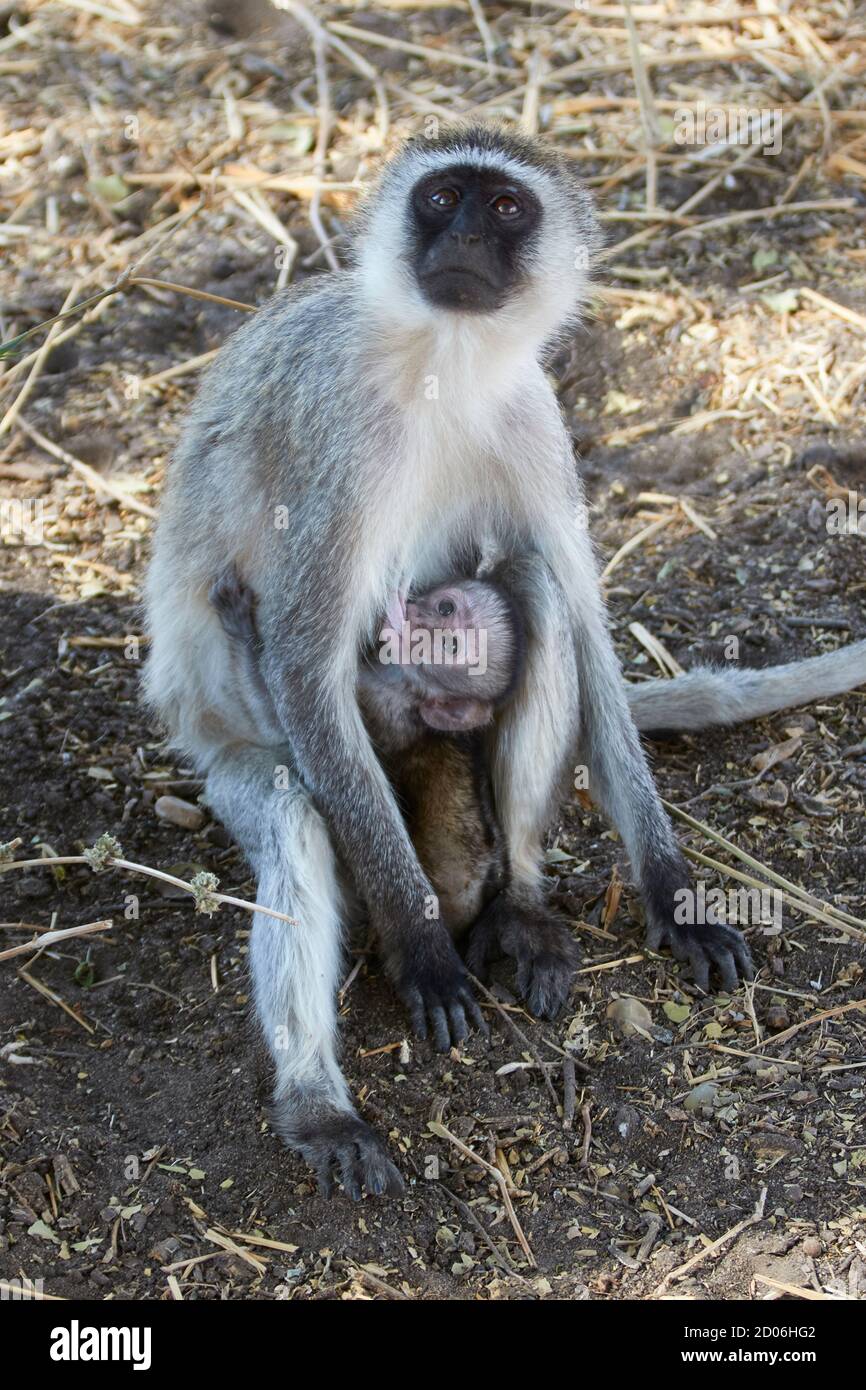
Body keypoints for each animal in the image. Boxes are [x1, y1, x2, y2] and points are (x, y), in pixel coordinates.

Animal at [143, 123, 860, 1199]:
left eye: (507, 208)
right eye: (443, 199)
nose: (468, 239)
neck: (447, 359)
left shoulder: (534, 418)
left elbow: (590, 636)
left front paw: (671, 890)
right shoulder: (335, 437)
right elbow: (305, 661)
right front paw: (421, 948)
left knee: (540, 595)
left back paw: (520, 911)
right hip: (226, 751)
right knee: (294, 811)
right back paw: (318, 1102)